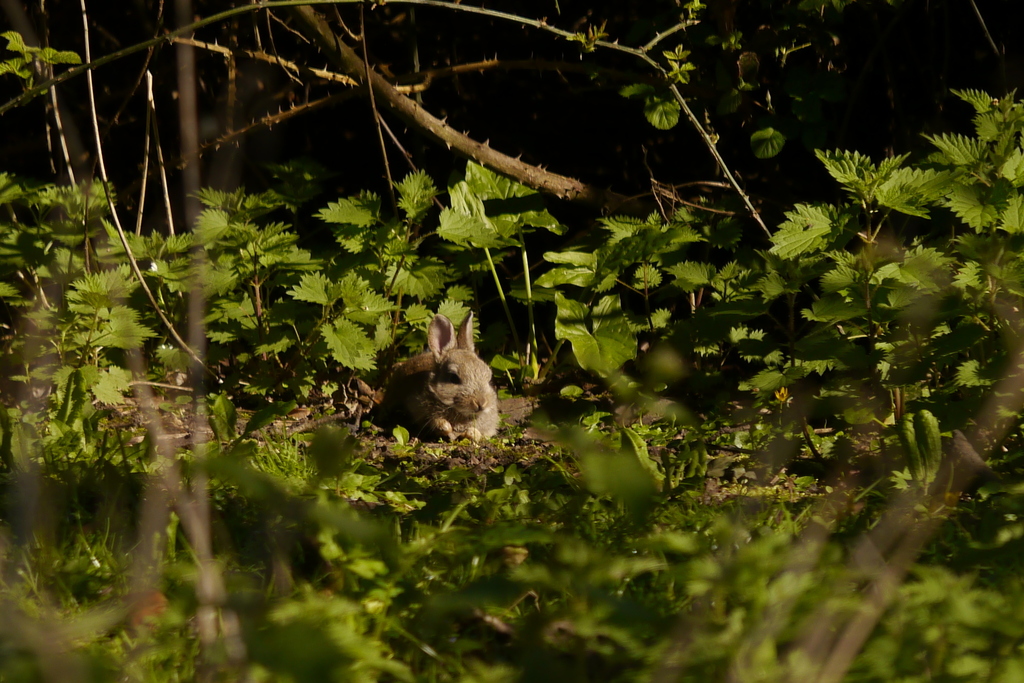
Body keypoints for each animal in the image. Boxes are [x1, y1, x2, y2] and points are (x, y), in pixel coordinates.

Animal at [383, 312, 499, 442]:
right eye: (453, 378)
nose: (481, 403)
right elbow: (437, 422)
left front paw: (471, 433)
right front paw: (445, 427)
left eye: (489, 378)